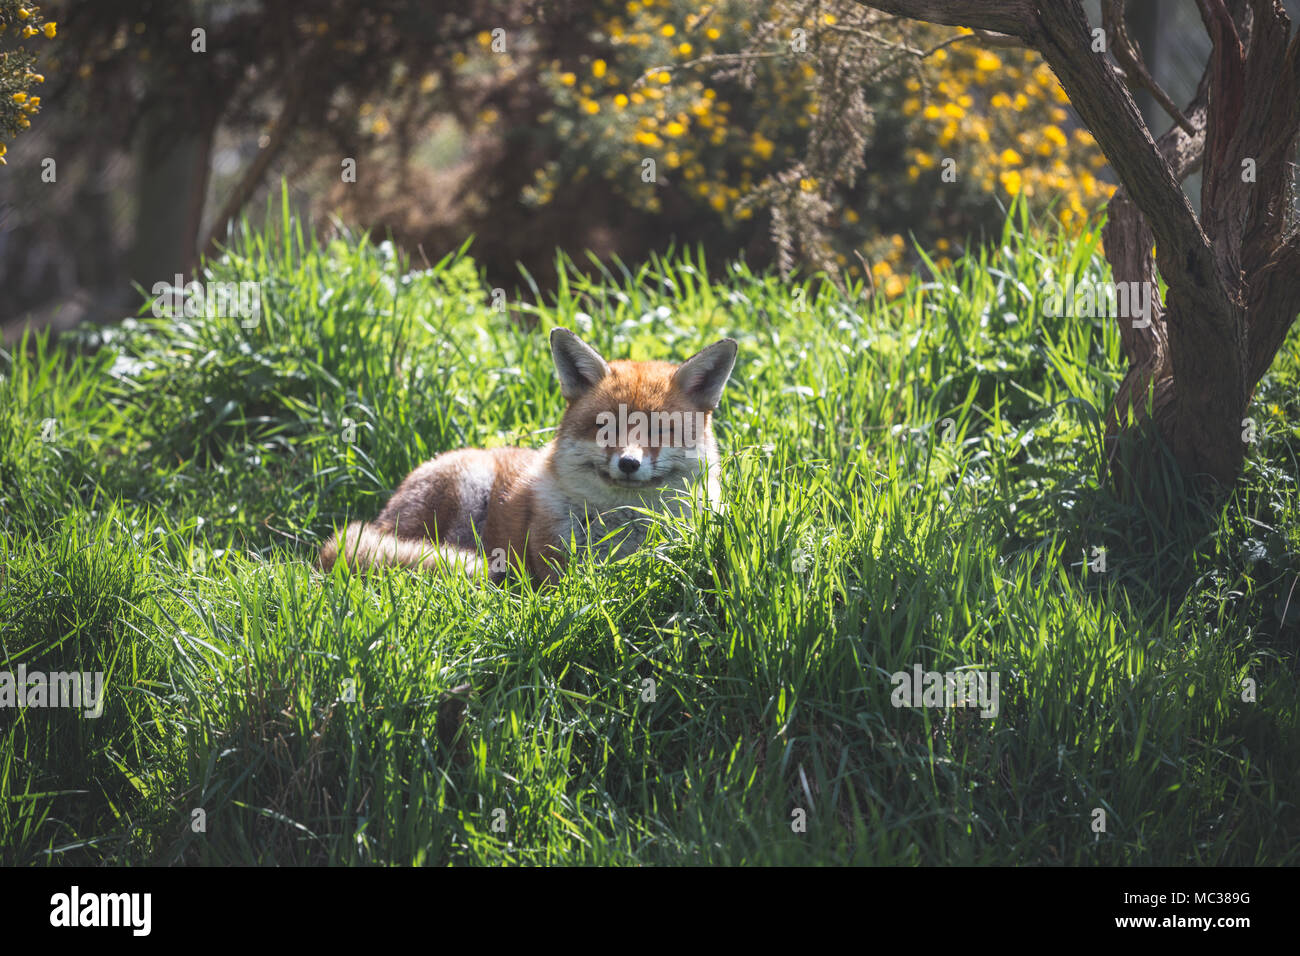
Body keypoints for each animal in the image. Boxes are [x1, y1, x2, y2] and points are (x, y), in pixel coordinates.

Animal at [318, 327, 738, 584]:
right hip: (466, 489)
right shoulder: (555, 566)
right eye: (604, 427)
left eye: (660, 430)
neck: (626, 528)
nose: (629, 463)